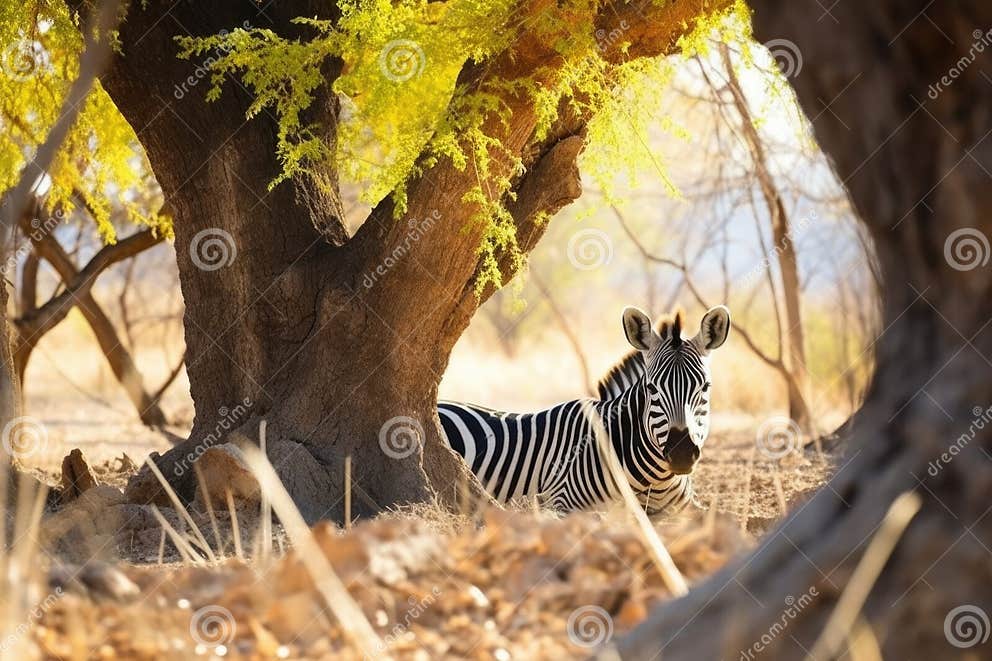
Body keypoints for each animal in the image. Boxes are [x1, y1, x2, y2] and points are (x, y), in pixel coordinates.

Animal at [438, 305, 731, 513]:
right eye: (651, 388)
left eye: (705, 387)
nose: (681, 454)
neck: (657, 481)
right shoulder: (560, 502)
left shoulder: (688, 507)